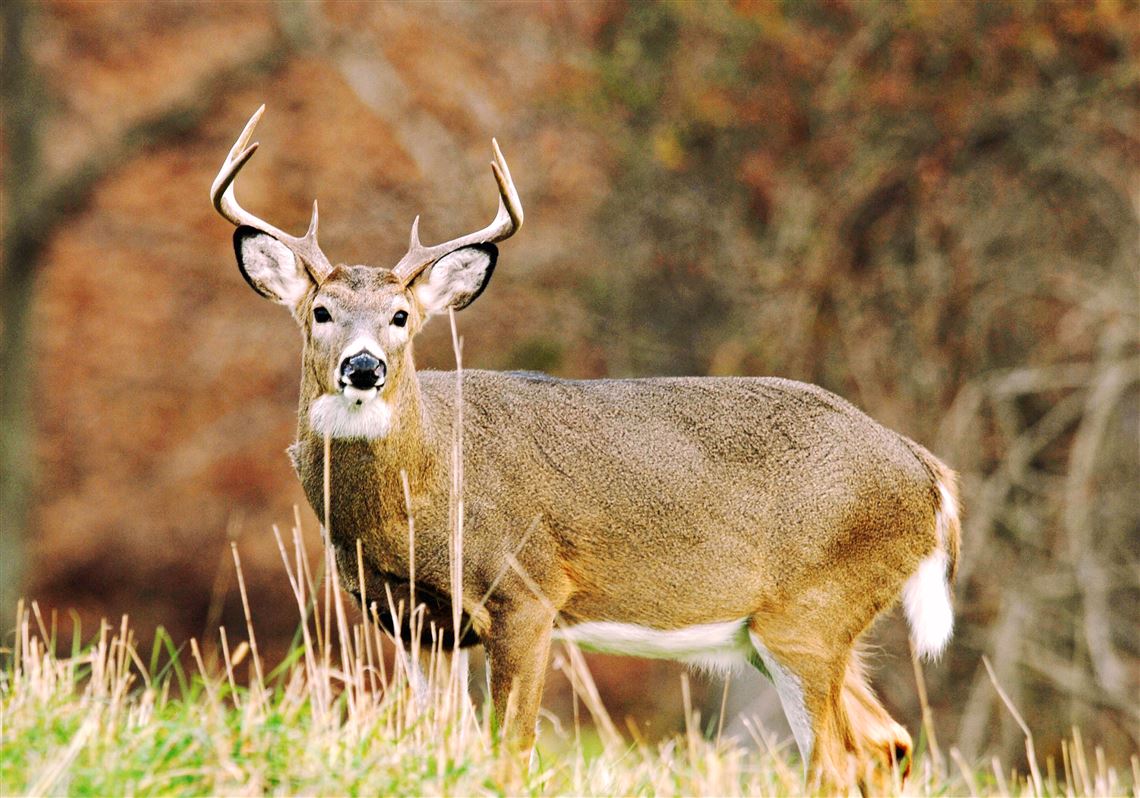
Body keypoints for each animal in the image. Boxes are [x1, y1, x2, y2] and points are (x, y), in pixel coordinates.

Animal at [210, 106, 961, 792]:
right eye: (321, 312)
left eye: (401, 317)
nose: (363, 367)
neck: (417, 495)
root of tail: (931, 477)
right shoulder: (412, 618)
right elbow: (438, 742)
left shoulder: (527, 591)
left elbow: (508, 752)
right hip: (776, 631)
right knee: (887, 742)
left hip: (812, 611)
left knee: (836, 760)